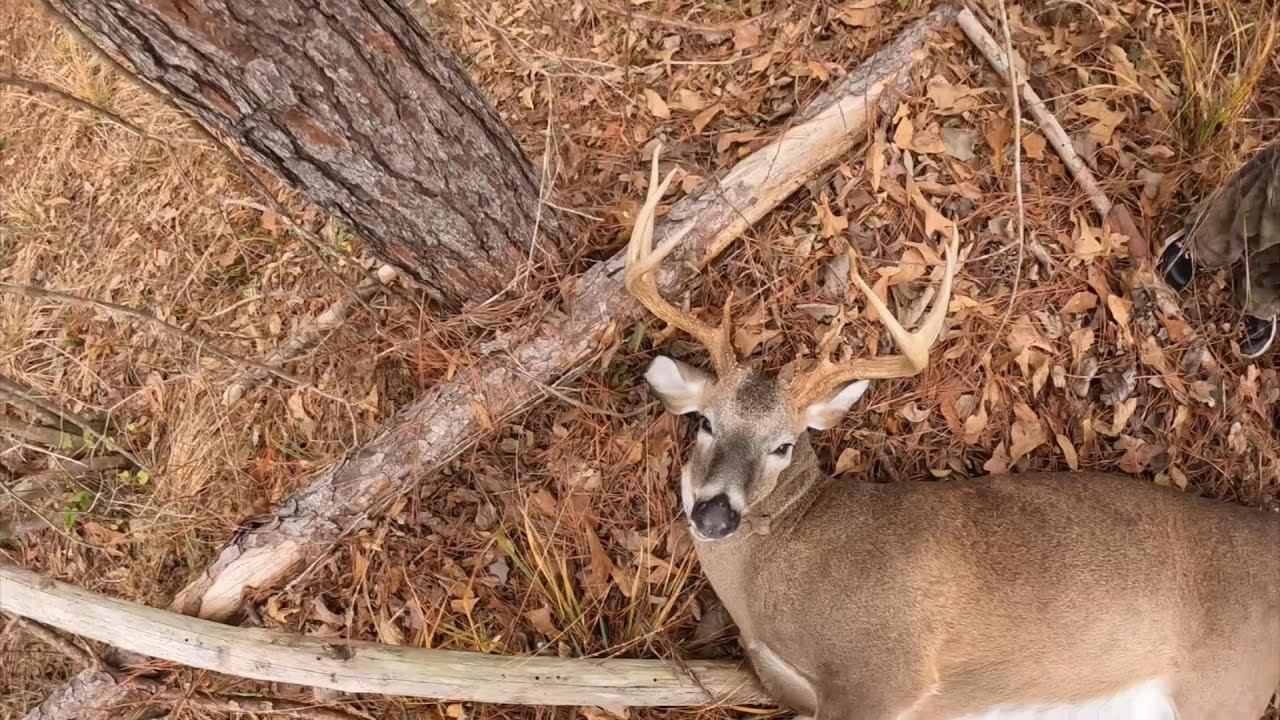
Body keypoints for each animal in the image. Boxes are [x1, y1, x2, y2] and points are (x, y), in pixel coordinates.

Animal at [625, 147, 1280, 720]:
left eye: (783, 446)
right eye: (706, 421)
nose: (714, 515)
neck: (769, 582)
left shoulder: (885, 673)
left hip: (1225, 688)